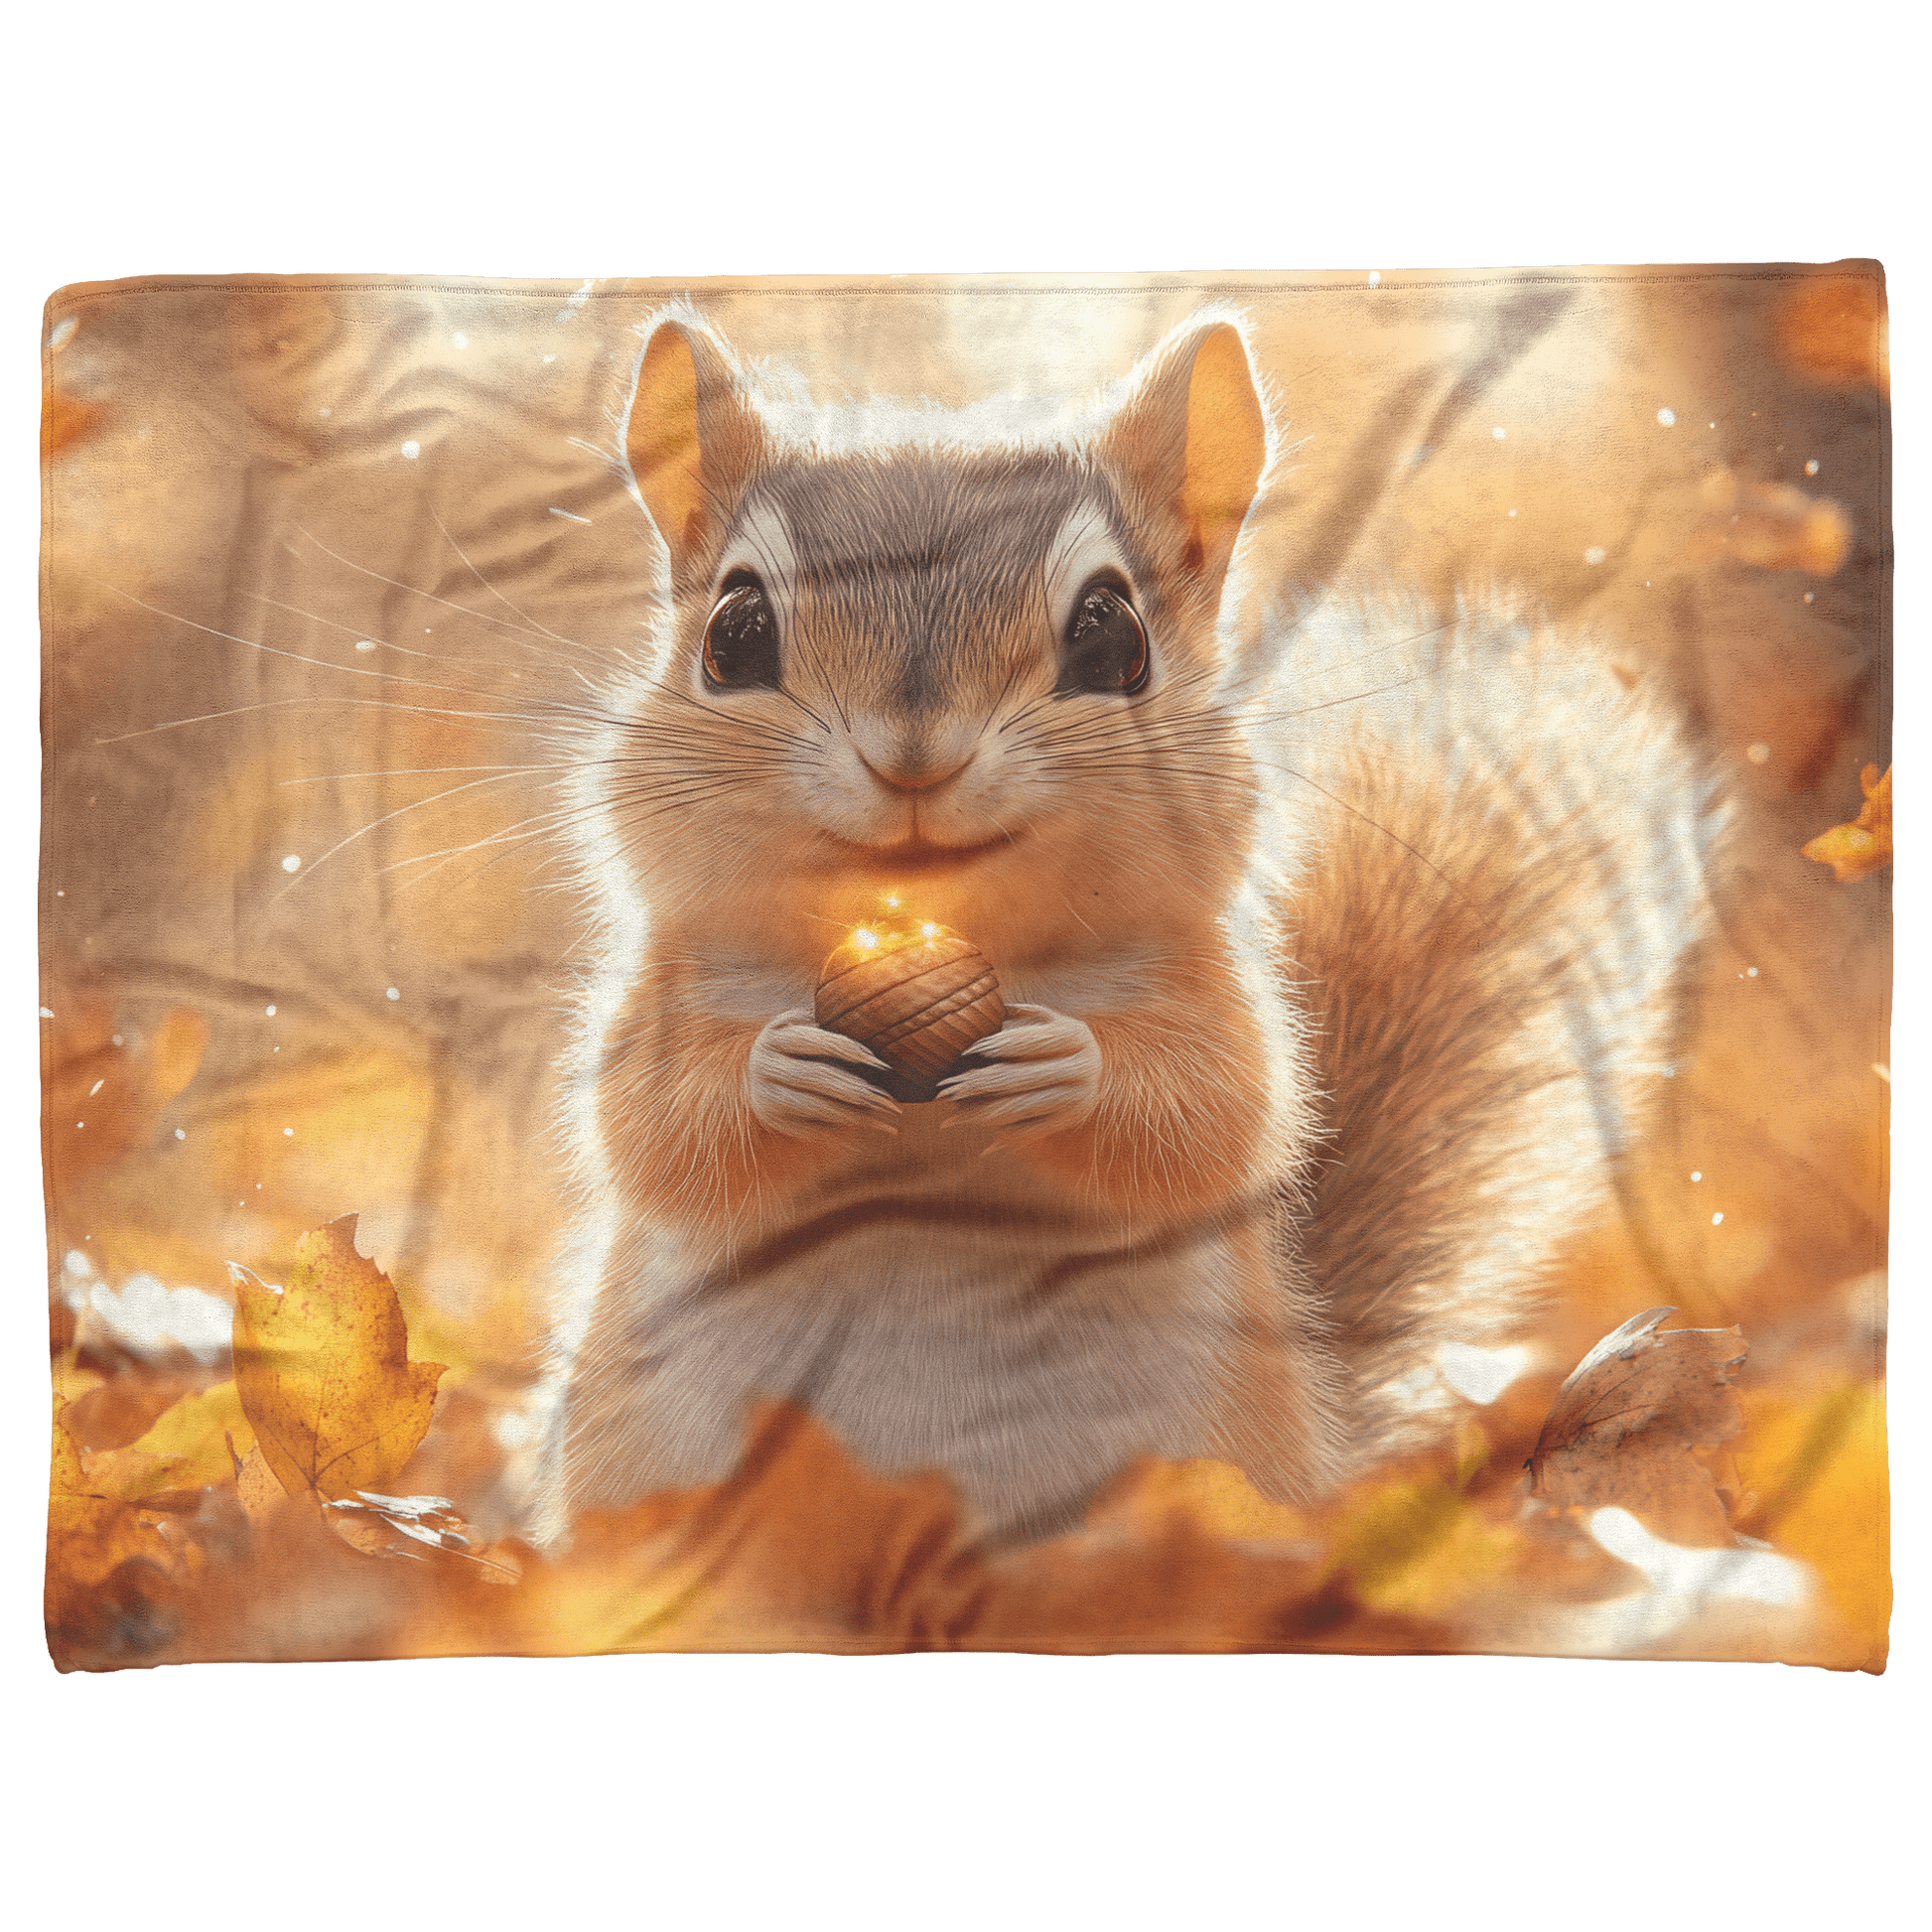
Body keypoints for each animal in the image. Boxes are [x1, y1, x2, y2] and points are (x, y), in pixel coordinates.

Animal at [525, 299, 1720, 1549]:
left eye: (1111, 635)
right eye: (734, 633)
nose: (914, 756)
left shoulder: (1216, 994)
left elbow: (1214, 1109)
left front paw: (1071, 1064)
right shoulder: (660, 991)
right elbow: (648, 1118)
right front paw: (777, 1067)